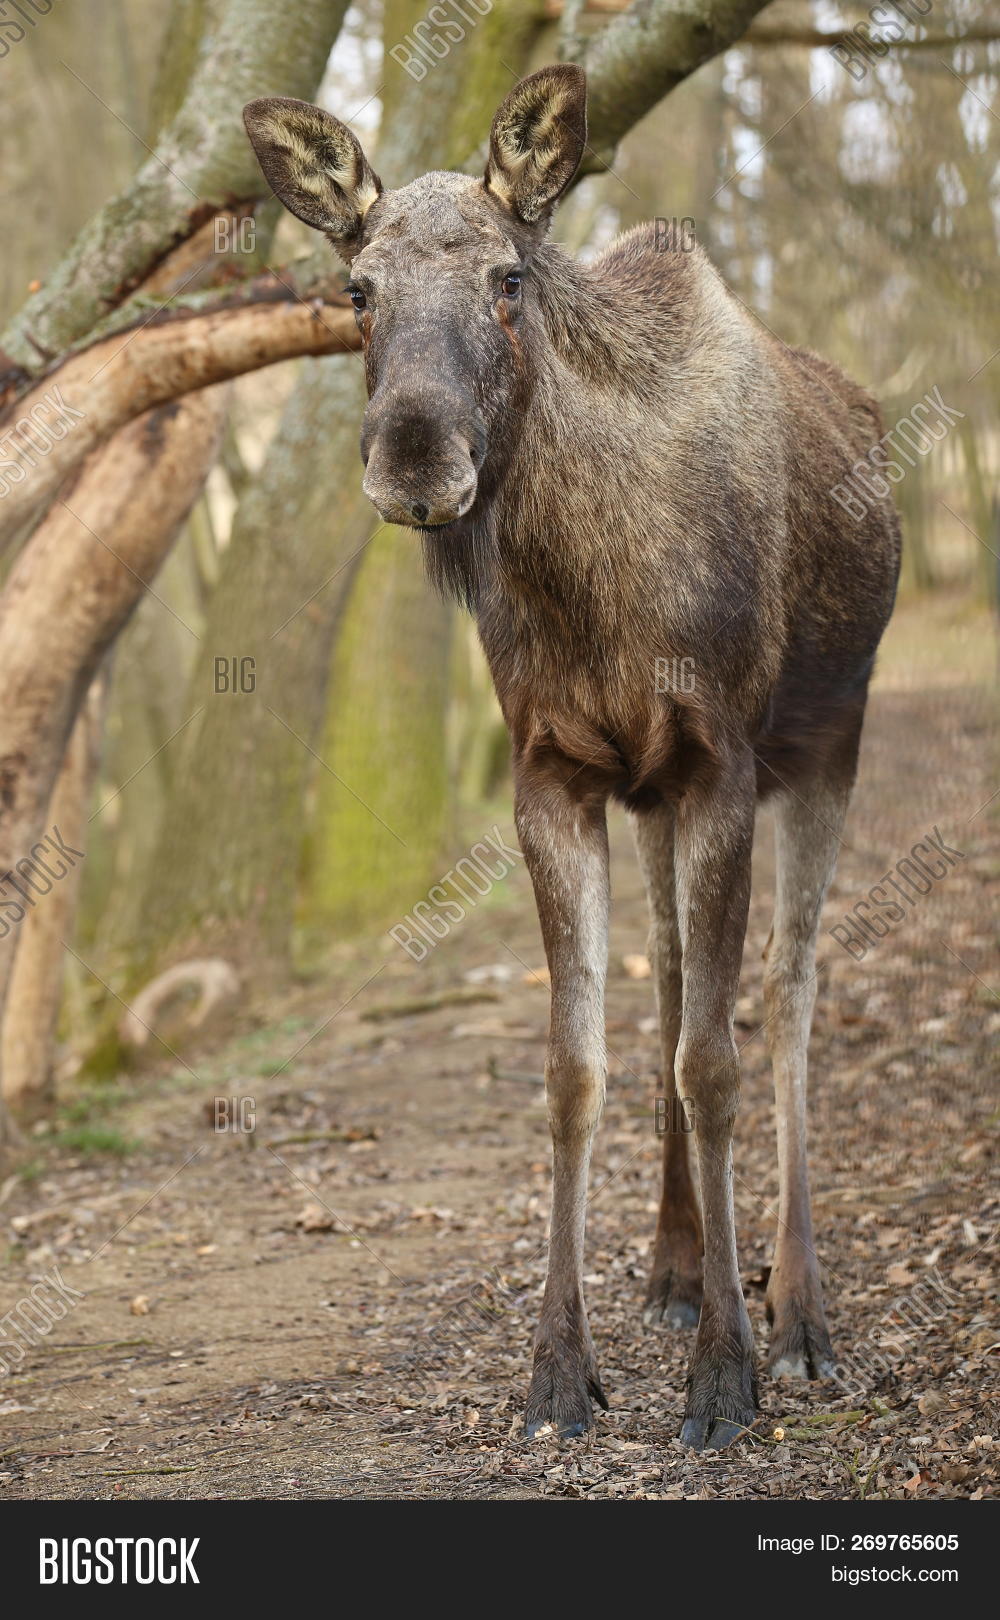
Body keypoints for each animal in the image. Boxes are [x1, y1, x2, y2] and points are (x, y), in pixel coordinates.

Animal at [244, 65, 901, 1449]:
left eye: (507, 276)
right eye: (355, 288)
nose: (416, 454)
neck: (589, 582)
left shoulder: (721, 765)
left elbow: (715, 1061)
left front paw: (725, 1373)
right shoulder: (553, 776)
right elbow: (576, 1067)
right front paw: (557, 1371)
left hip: (828, 744)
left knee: (790, 995)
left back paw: (800, 1315)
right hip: (652, 803)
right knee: (671, 989)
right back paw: (673, 1267)